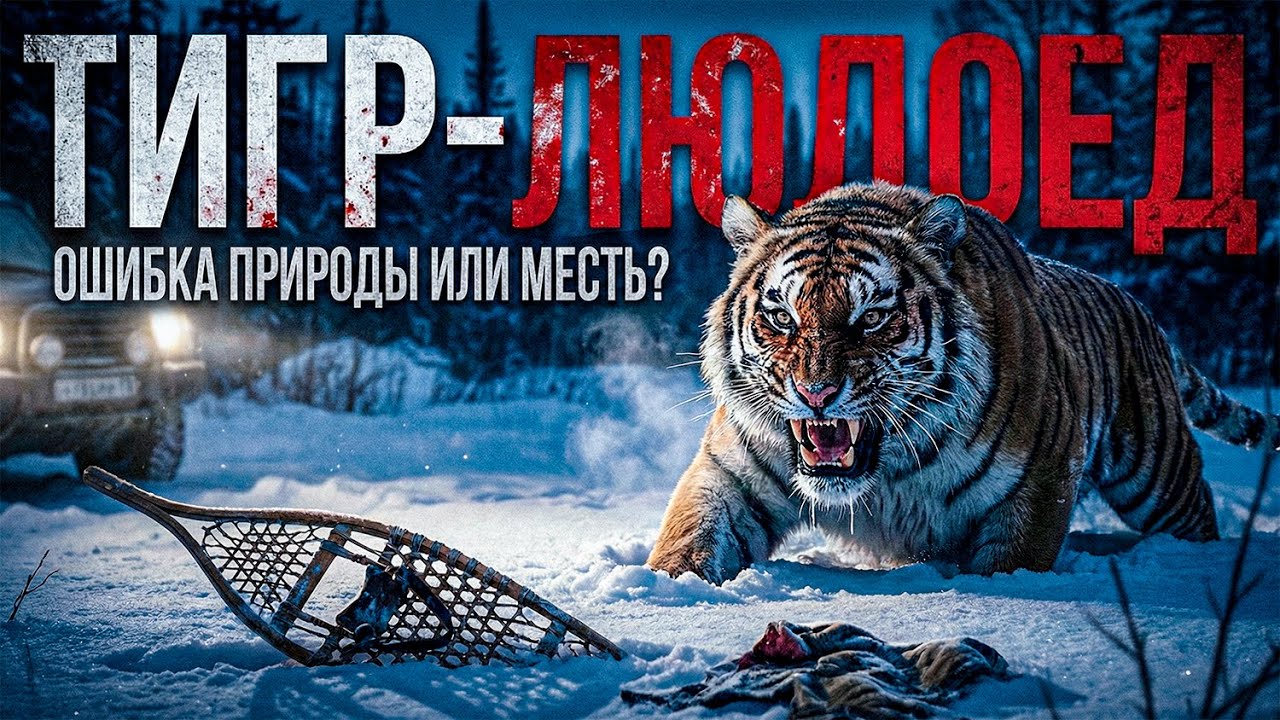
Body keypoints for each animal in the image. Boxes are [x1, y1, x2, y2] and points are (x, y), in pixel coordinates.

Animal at [648, 181, 1279, 584]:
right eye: (782, 318)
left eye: (870, 318)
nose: (816, 394)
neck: (885, 474)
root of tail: (1141, 307)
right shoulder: (731, 472)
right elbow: (689, 536)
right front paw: (672, 590)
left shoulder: (1041, 477)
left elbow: (1012, 562)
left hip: (1159, 479)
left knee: (1195, 516)